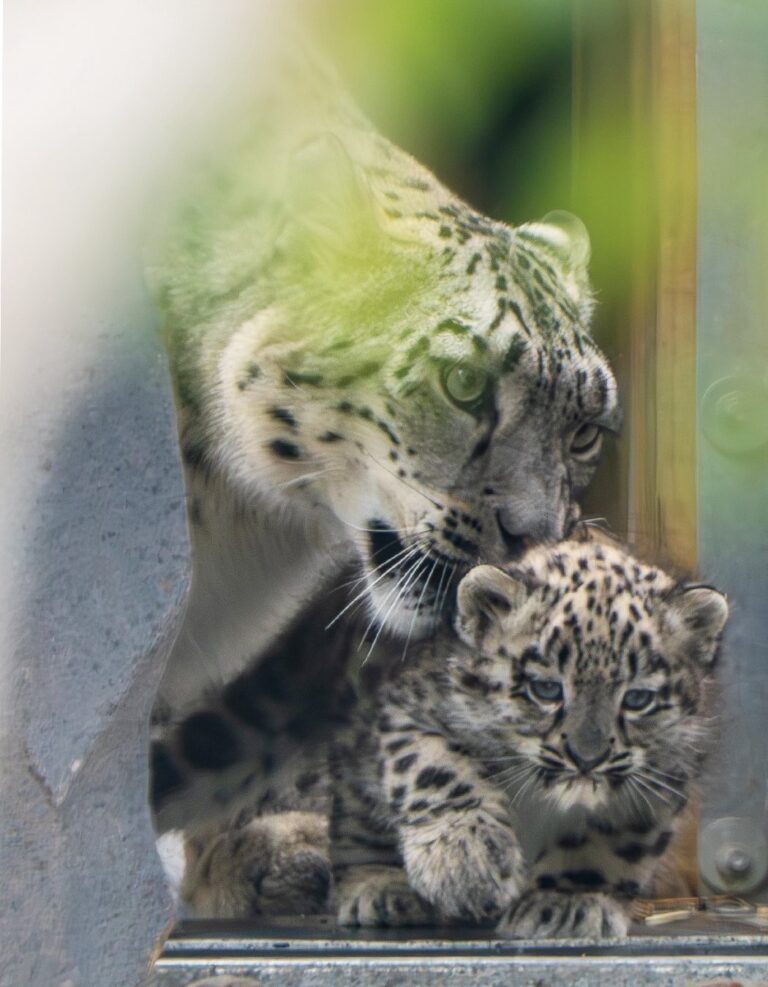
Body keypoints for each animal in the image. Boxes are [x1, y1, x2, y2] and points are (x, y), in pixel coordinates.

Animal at [330, 533, 727, 937]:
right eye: (546, 689)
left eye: (637, 698)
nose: (587, 757)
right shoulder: (411, 711)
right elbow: (435, 770)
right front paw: (468, 861)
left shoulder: (660, 779)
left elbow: (607, 845)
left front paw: (566, 902)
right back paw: (383, 888)